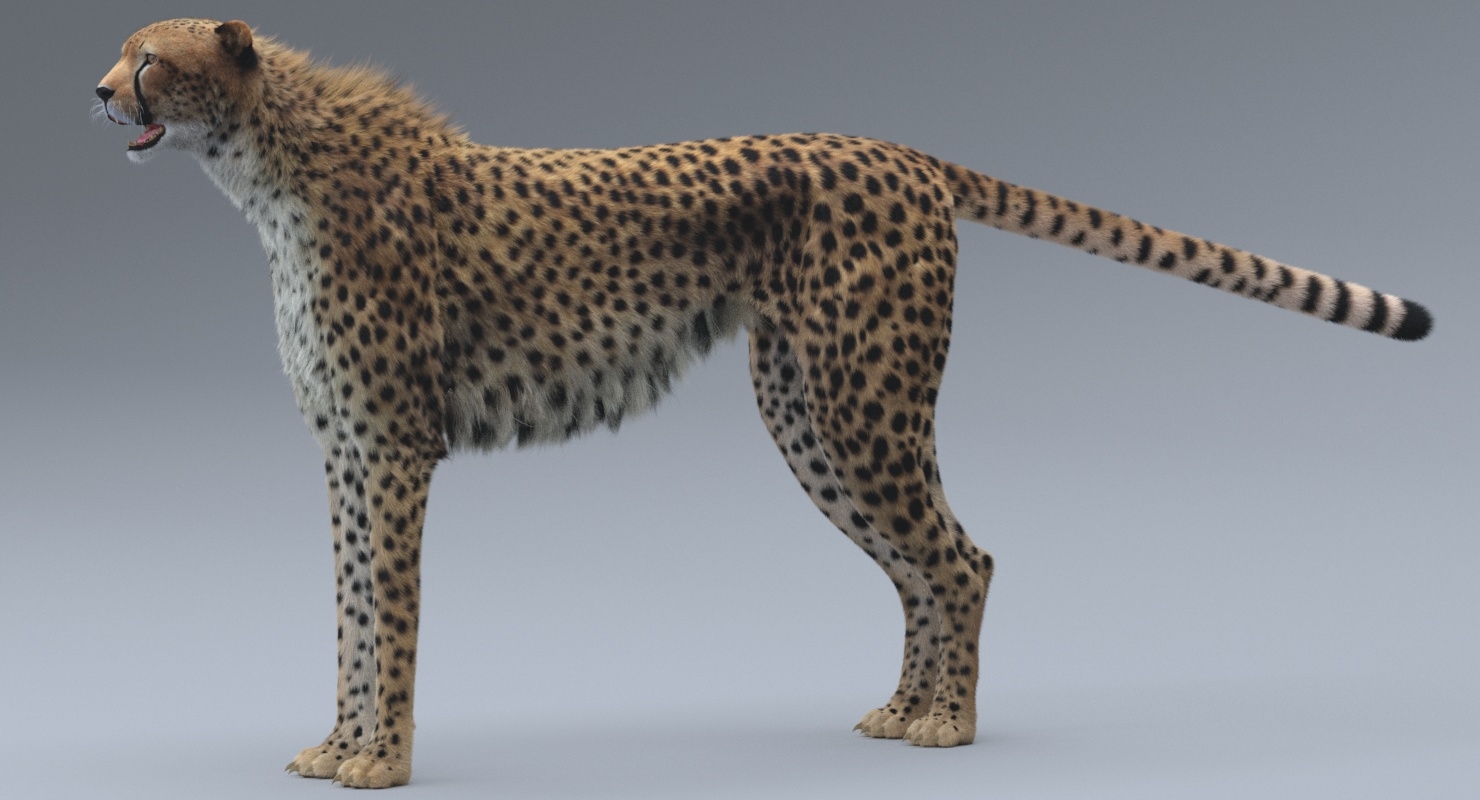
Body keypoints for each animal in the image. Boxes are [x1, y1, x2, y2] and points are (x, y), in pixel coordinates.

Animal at [95, 18, 1431, 789]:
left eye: (151, 57)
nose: (100, 93)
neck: (266, 162)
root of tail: (897, 150)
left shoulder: (392, 447)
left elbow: (390, 612)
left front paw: (378, 758)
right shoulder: (344, 452)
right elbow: (348, 611)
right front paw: (336, 743)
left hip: (855, 400)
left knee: (961, 556)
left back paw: (947, 727)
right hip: (811, 407)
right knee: (923, 564)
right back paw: (903, 710)